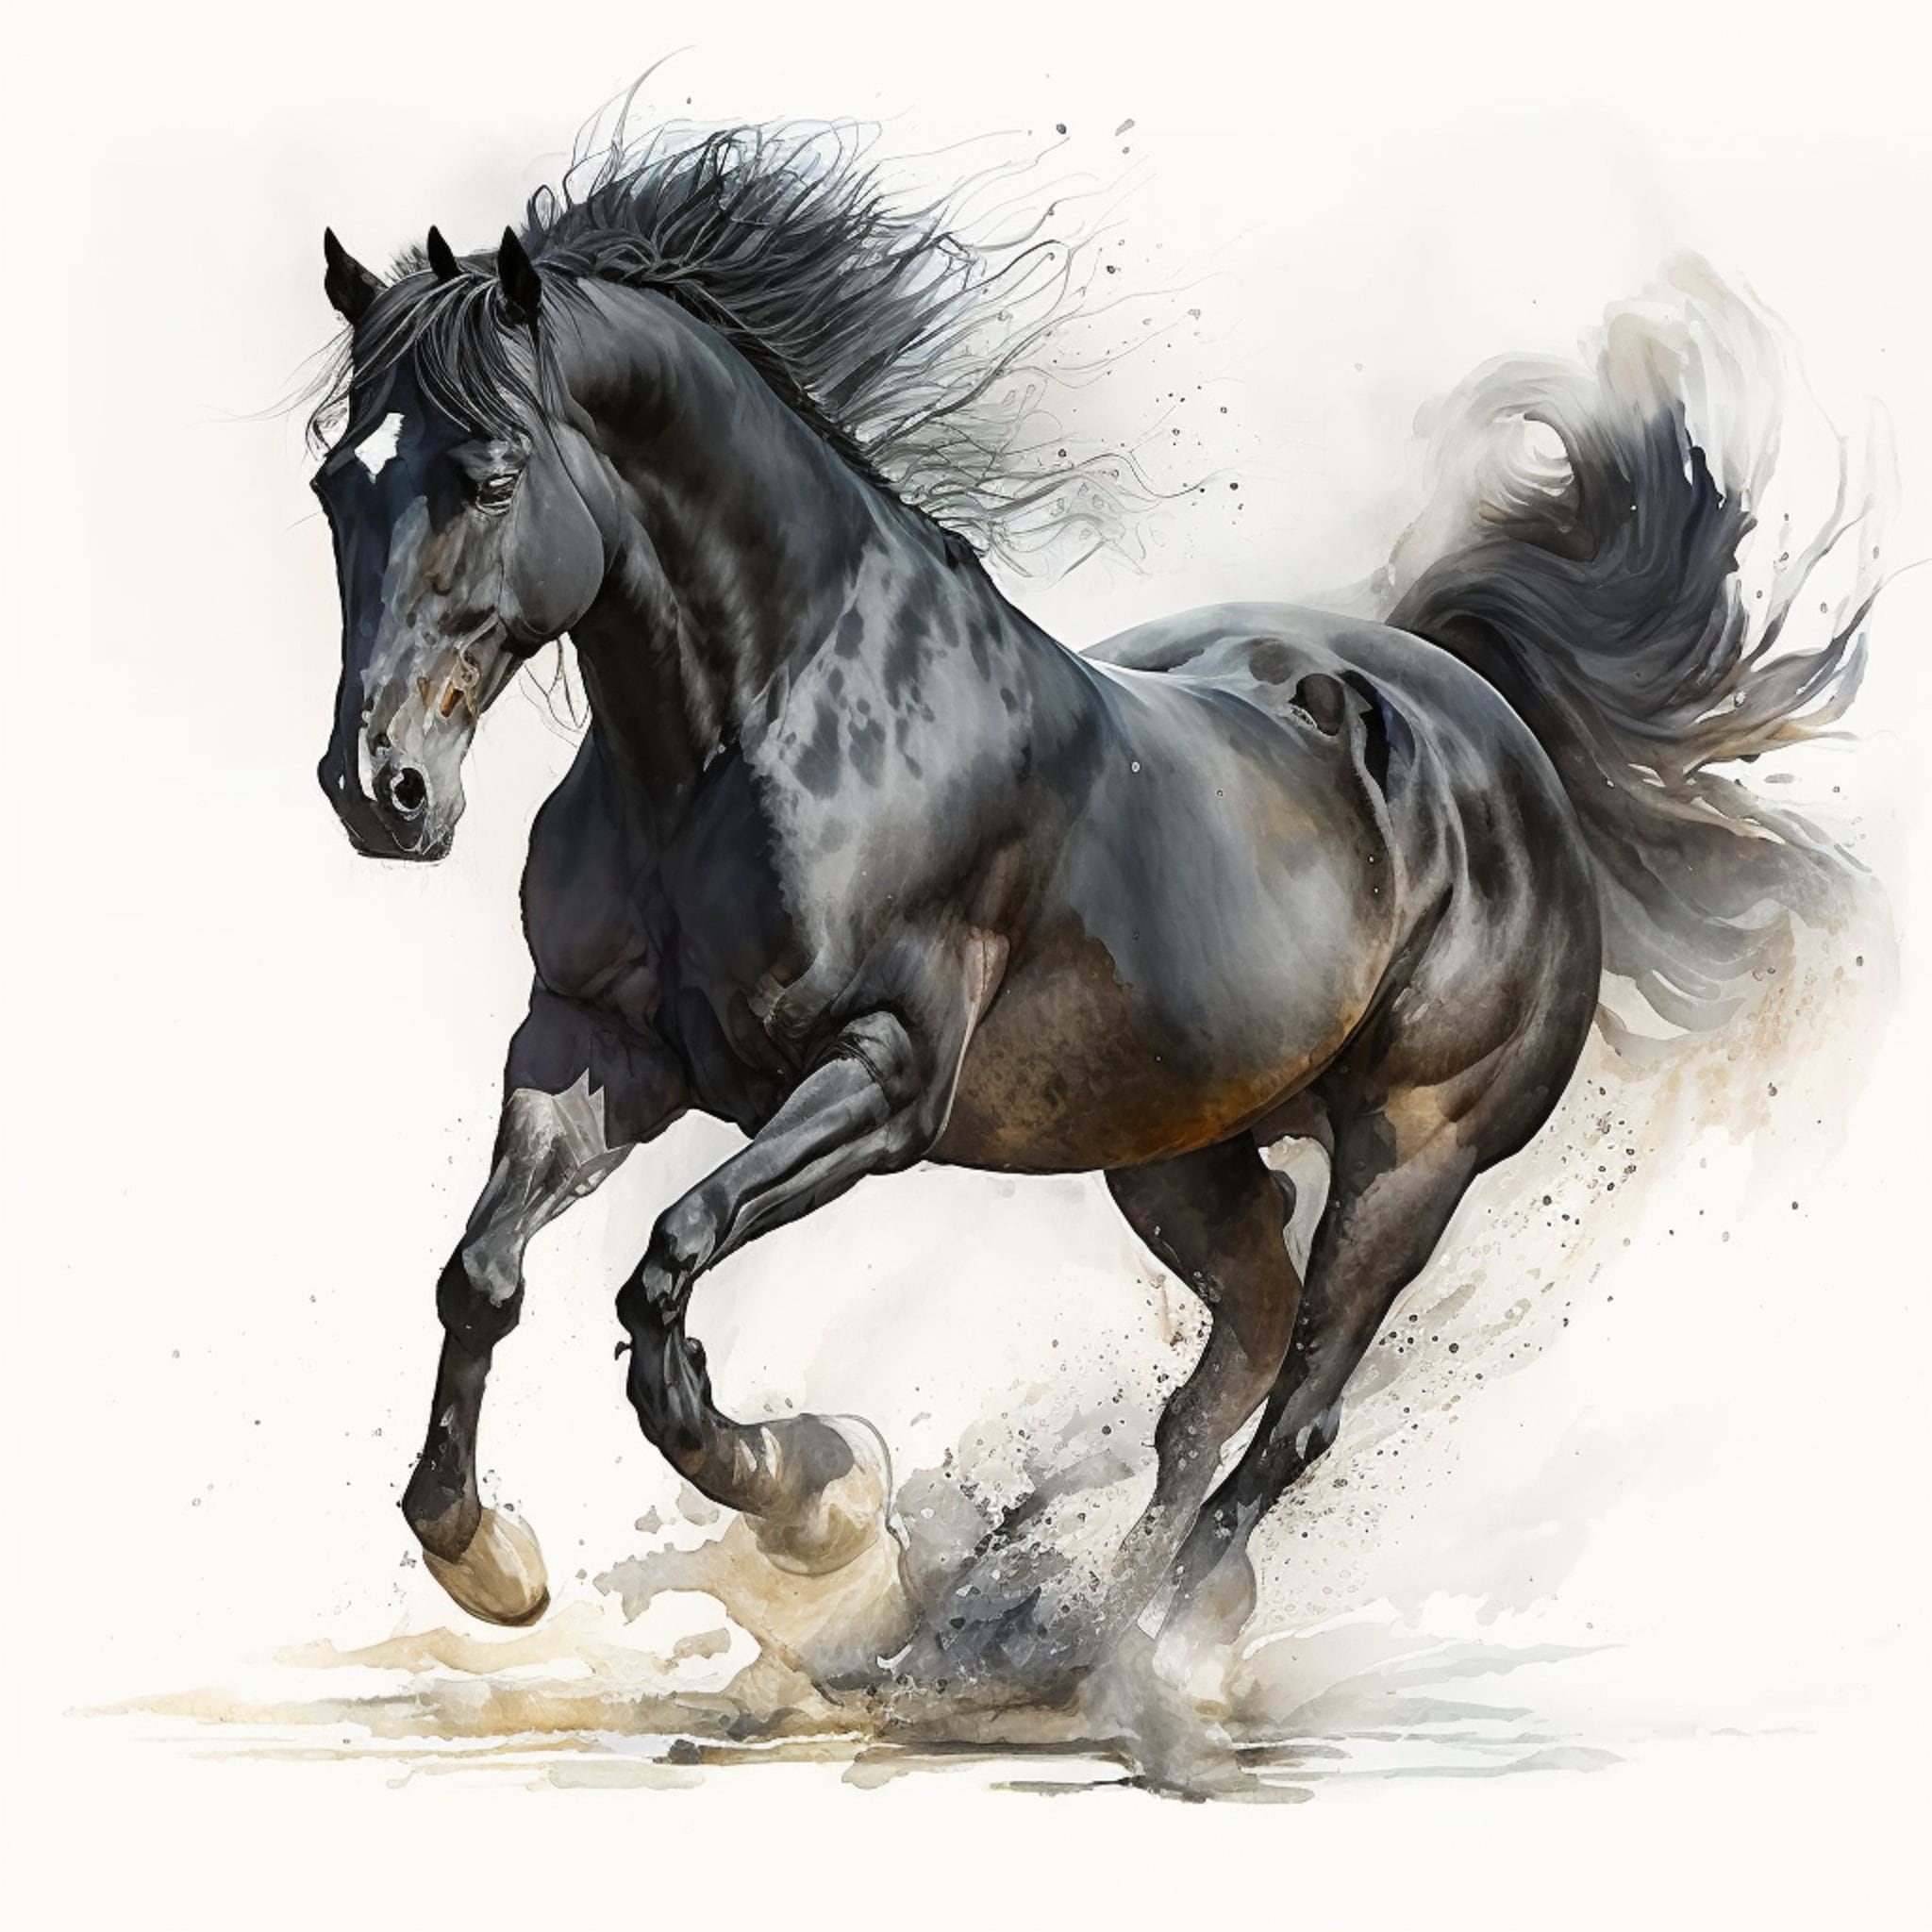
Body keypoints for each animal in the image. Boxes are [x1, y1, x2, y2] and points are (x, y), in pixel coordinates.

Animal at [308, 122, 1873, 1672]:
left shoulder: (882, 1078)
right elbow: (482, 1273)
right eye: (335, 484)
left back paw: (1158, 1652)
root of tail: (1481, 720)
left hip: (1413, 1153)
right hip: (1176, 1153)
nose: (380, 788)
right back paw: (1080, 1614)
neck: (756, 731)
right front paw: (481, 1554)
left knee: (1300, 1409)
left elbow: (665, 1266)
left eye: (490, 474)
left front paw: (811, 1496)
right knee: (1228, 1367)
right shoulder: (596, 1044)